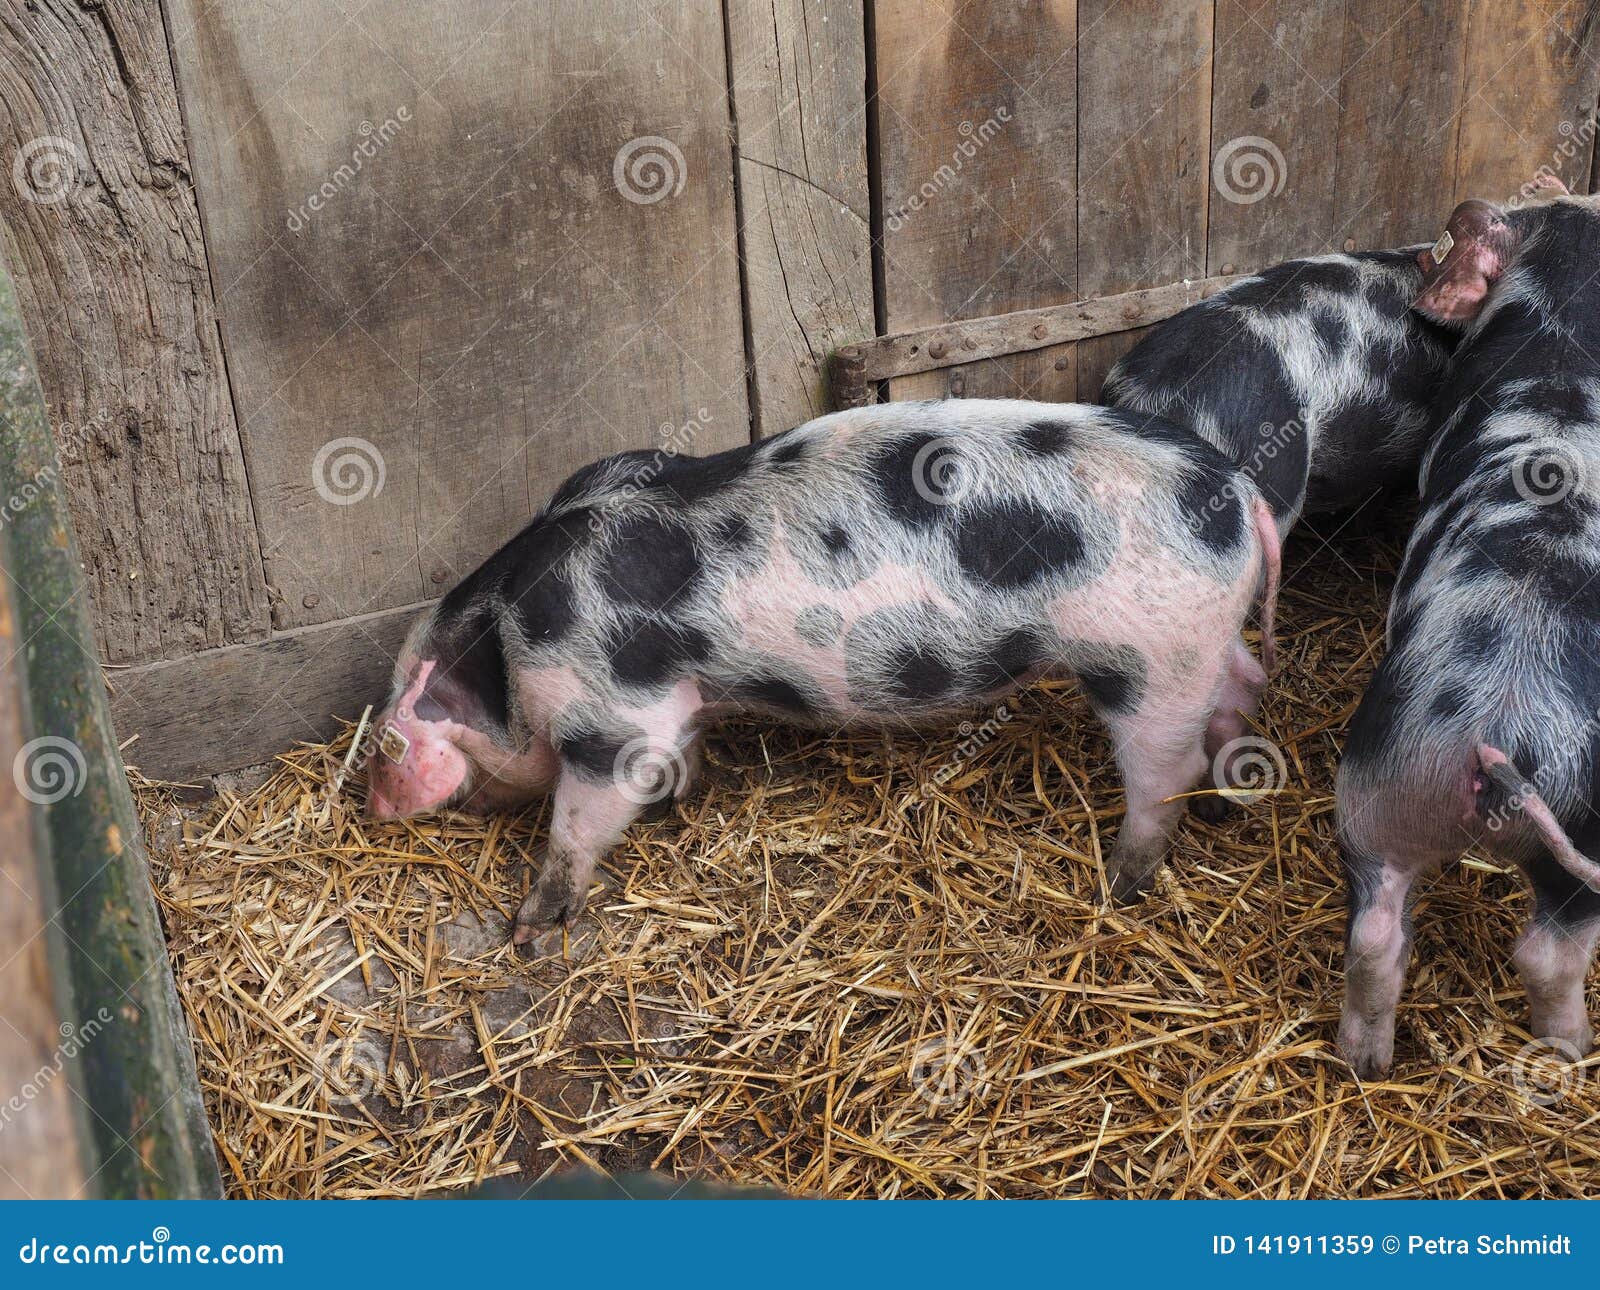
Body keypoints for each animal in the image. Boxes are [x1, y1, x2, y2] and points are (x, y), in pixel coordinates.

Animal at [365, 399, 1280, 944]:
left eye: (389, 745)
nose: (373, 810)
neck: (506, 646)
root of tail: (1241, 494)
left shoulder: (608, 713)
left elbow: (579, 820)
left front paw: (530, 929)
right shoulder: (676, 696)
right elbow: (682, 750)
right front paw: (684, 799)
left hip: (1152, 659)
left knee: (1166, 771)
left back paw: (1119, 883)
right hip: (1202, 641)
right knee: (1243, 683)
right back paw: (1229, 797)